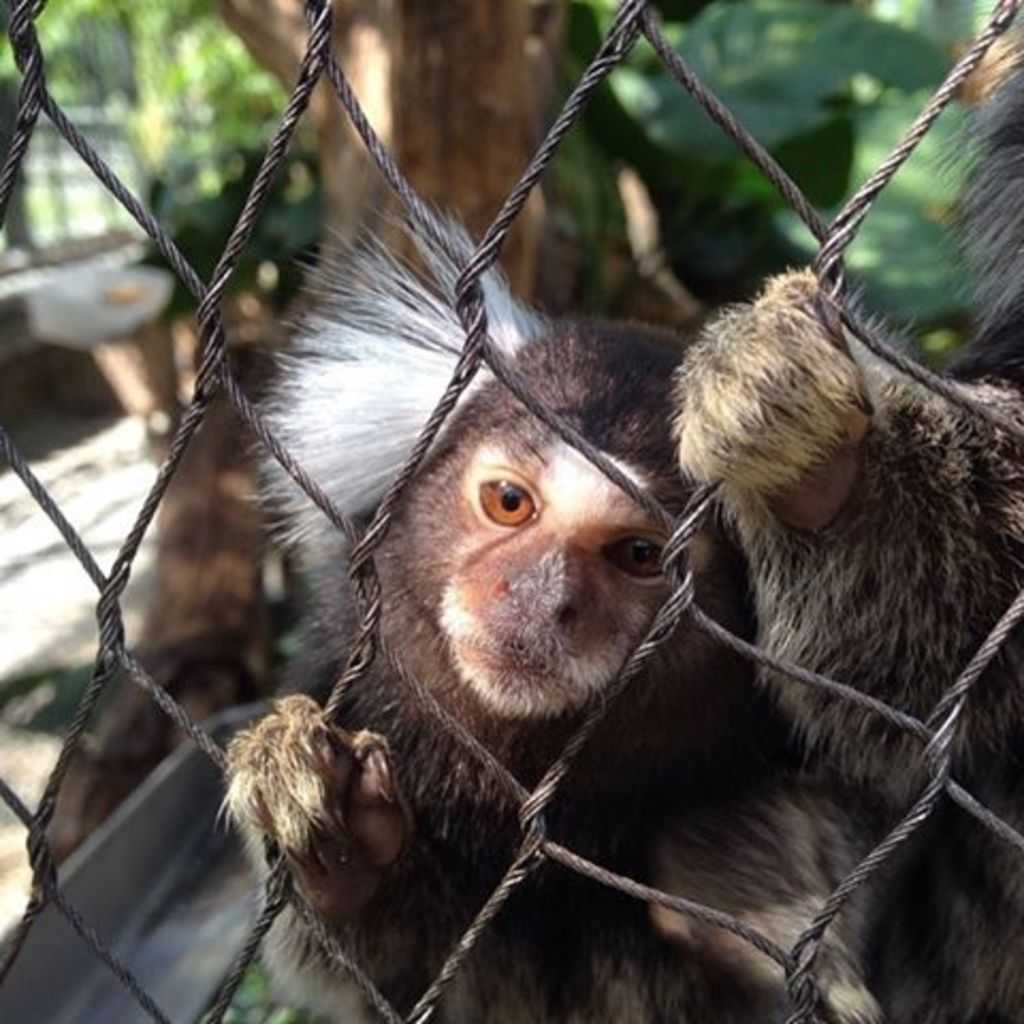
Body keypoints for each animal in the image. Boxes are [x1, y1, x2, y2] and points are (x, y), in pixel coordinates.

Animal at [223, 224, 883, 1022]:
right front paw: (345, 840)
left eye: (639, 555)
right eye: (509, 502)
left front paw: (815, 463)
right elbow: (387, 974)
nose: (541, 598)